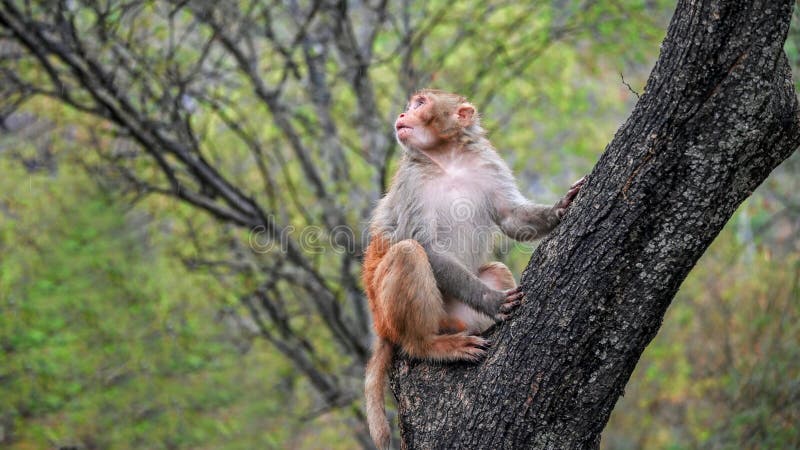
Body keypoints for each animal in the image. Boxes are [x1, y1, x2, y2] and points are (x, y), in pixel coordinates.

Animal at [363, 89, 584, 449]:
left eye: (419, 104)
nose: (402, 114)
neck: (448, 158)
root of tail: (379, 324)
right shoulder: (411, 181)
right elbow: (426, 246)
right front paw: (492, 301)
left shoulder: (486, 163)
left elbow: (510, 217)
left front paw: (559, 209)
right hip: (388, 312)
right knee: (408, 253)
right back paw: (428, 344)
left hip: (457, 314)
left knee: (496, 269)